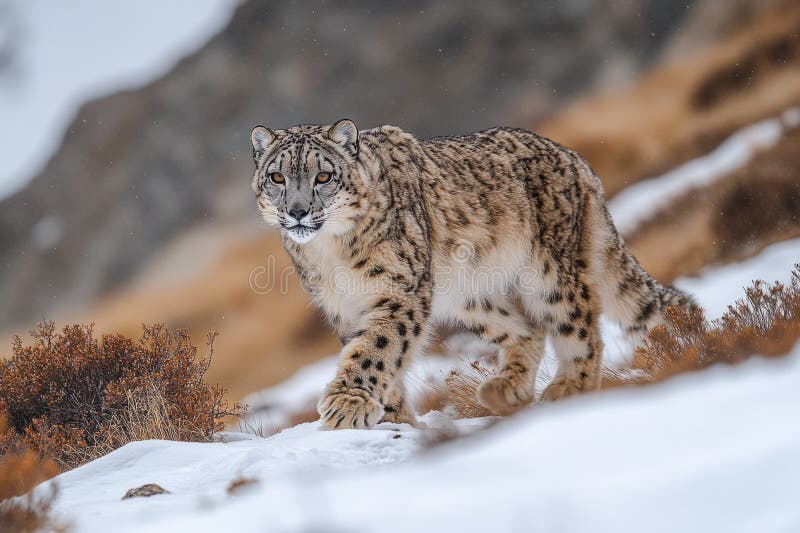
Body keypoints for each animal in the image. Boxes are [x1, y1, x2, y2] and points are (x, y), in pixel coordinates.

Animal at [249, 119, 695, 429]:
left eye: (323, 176)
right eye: (277, 177)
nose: (297, 211)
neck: (331, 254)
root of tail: (575, 159)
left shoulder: (400, 291)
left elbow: (377, 347)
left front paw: (347, 404)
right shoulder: (344, 307)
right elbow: (373, 352)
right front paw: (393, 418)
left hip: (550, 272)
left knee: (579, 325)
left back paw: (570, 391)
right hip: (469, 294)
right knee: (528, 329)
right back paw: (506, 388)